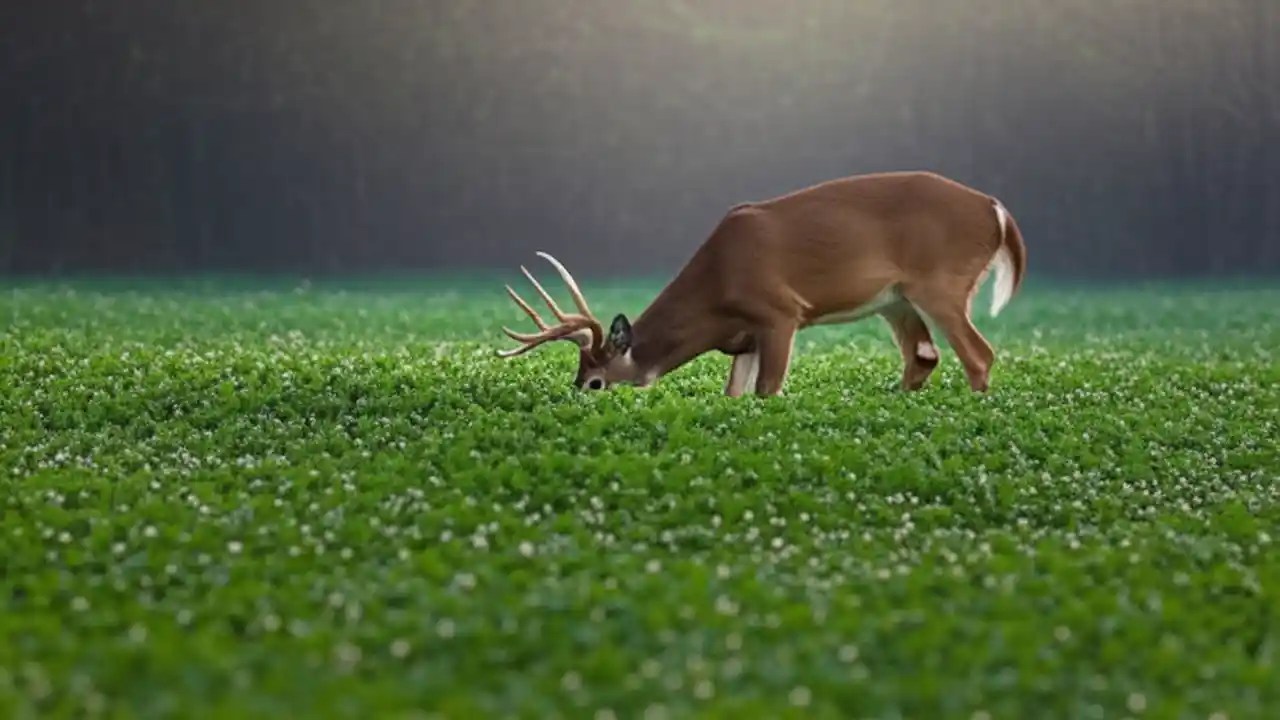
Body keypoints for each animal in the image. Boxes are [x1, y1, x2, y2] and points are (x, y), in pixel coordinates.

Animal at [495, 170, 1026, 397]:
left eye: (595, 383)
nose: (575, 397)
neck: (717, 290)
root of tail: (997, 210)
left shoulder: (779, 312)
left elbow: (768, 391)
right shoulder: (744, 337)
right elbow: (734, 394)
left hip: (940, 282)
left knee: (978, 354)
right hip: (893, 300)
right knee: (923, 356)